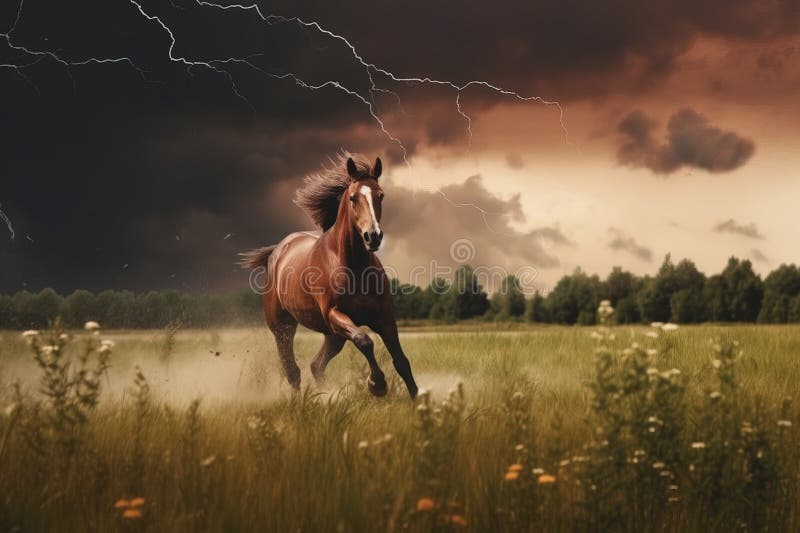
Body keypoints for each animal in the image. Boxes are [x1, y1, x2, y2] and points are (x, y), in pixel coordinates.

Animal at [240, 153, 418, 399]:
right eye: (353, 197)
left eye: (380, 195)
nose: (373, 236)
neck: (353, 267)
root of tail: (278, 251)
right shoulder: (335, 315)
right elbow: (364, 341)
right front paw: (377, 384)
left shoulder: (384, 317)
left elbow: (402, 361)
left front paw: (418, 399)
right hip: (283, 327)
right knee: (292, 370)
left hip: (333, 336)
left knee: (316, 365)